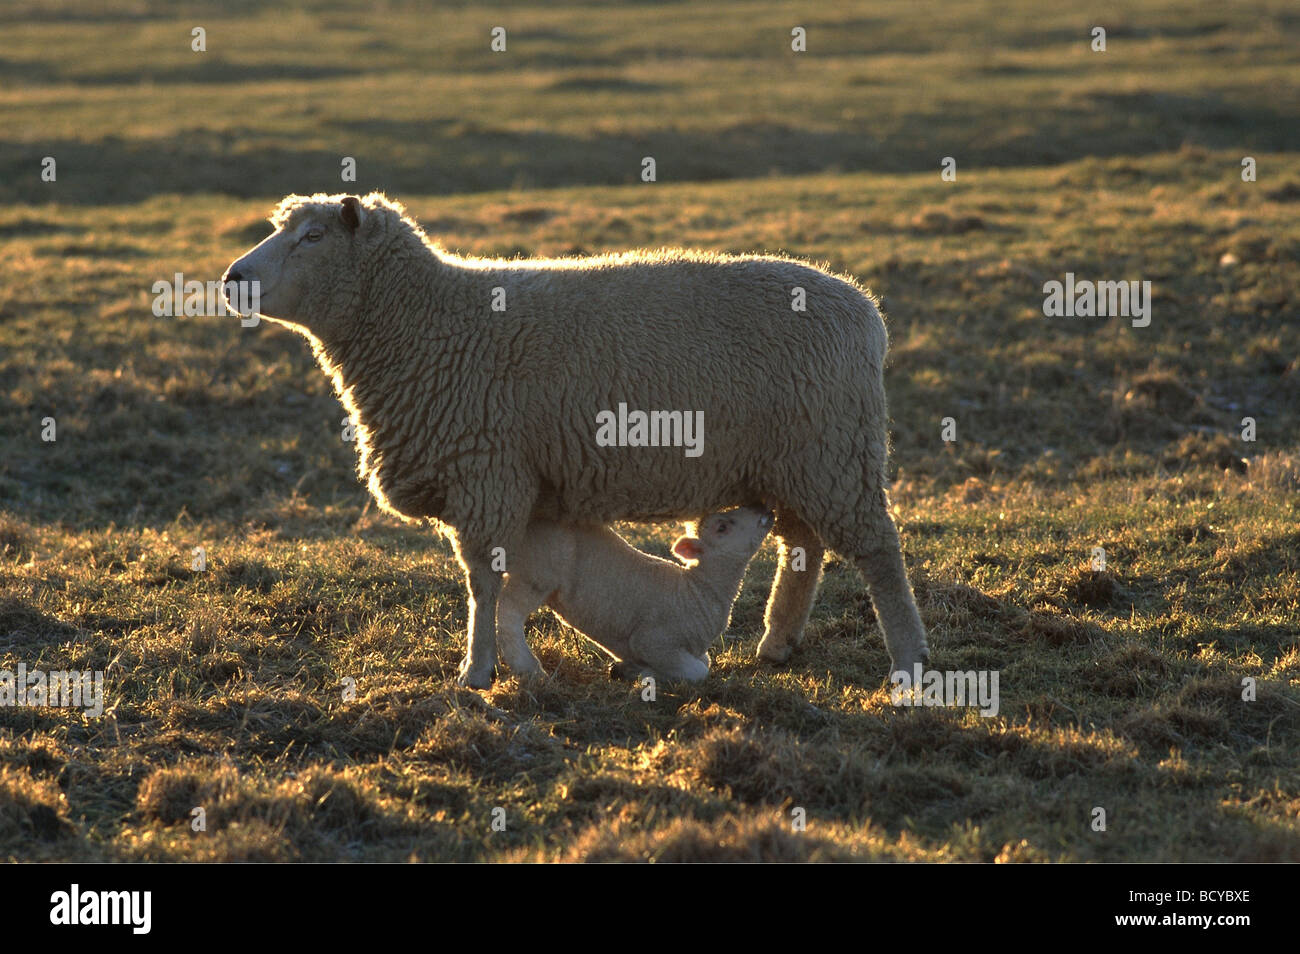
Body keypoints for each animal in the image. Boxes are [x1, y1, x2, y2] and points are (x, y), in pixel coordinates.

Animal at [498, 505, 774, 682]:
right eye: (722, 527)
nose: (765, 511)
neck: (698, 590)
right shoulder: (653, 641)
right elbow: (699, 671)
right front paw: (642, 673)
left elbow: (705, 662)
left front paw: (628, 668)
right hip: (538, 569)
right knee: (507, 610)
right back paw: (529, 669)